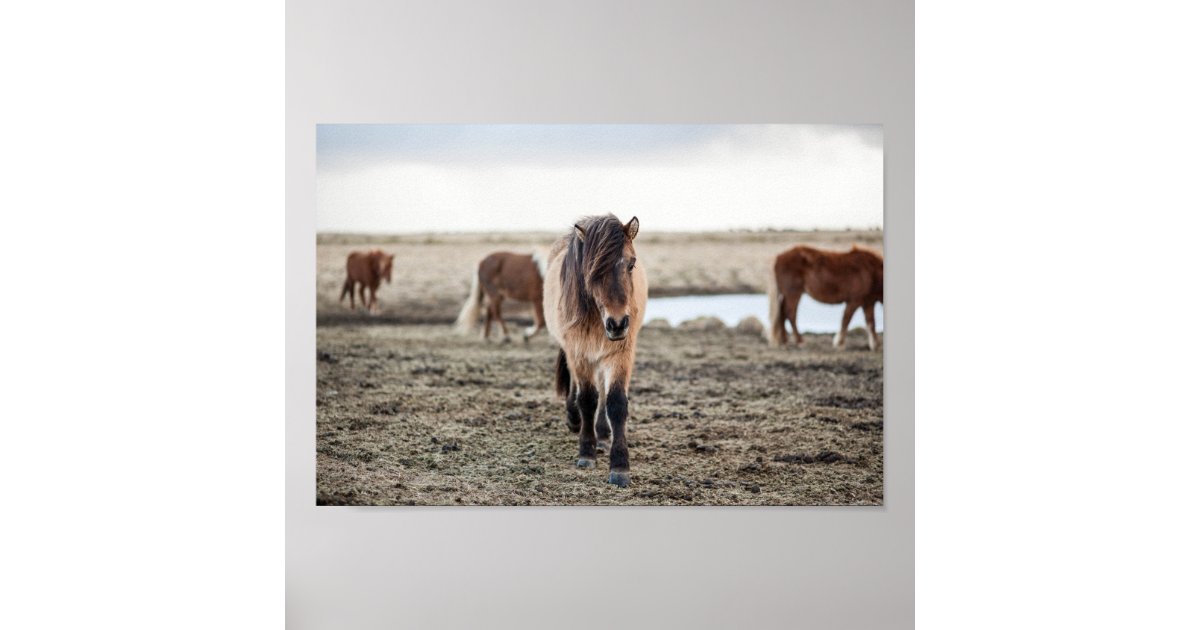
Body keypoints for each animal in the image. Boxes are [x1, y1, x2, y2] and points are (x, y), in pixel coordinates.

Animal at [543, 214, 647, 488]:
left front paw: (620, 466)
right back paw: (575, 420)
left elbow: (615, 402)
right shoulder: (579, 353)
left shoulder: (620, 354)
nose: (618, 323)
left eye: (631, 264)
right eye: (593, 270)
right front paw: (586, 453)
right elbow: (587, 399)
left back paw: (602, 435)